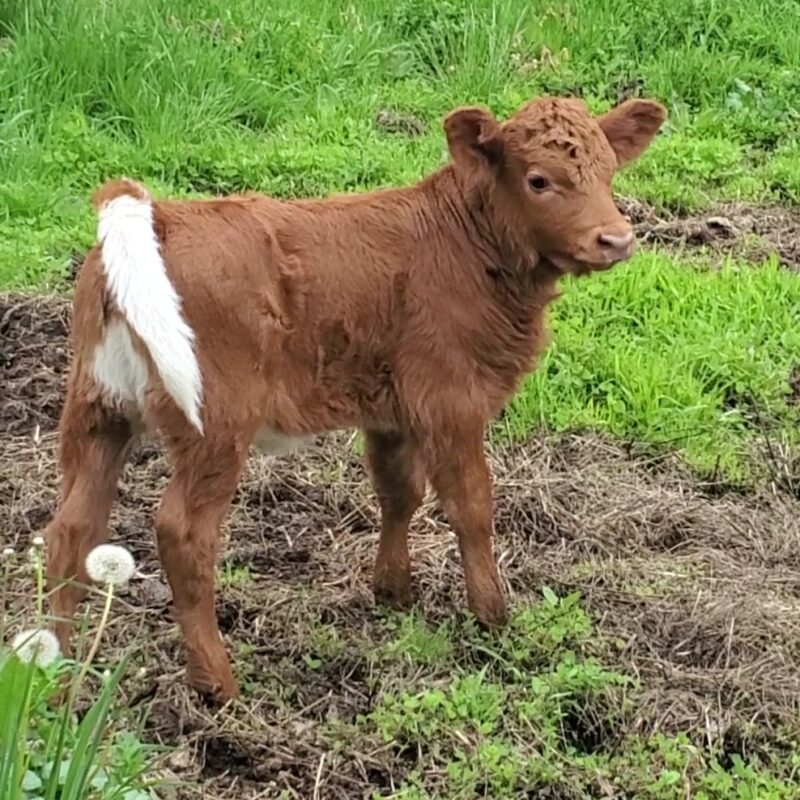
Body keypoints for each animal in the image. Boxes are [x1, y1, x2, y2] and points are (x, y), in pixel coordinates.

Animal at [44, 95, 666, 700]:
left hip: (95, 412)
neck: (466, 245)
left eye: (608, 172)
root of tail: (157, 218)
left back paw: (55, 677)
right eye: (539, 180)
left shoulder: (391, 408)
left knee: (72, 530)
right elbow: (471, 506)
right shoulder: (451, 400)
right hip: (213, 426)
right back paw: (217, 684)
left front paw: (393, 591)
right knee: (182, 534)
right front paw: (492, 616)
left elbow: (399, 491)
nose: (616, 239)